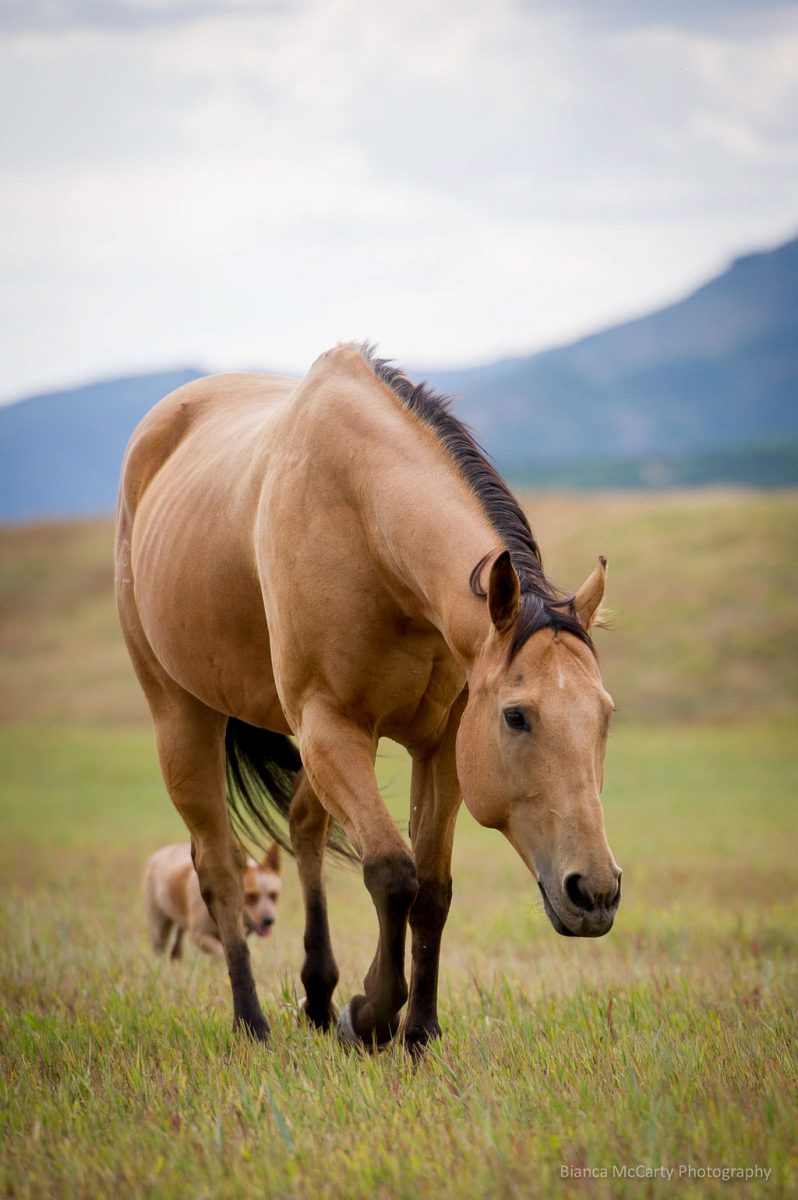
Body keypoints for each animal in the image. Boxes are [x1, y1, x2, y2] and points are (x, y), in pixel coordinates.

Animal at [115, 342, 621, 1052]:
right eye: (517, 717)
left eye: (605, 717)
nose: (595, 894)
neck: (362, 519)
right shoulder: (332, 727)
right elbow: (391, 871)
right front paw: (372, 1015)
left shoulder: (442, 744)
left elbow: (431, 889)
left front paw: (419, 1032)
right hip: (182, 717)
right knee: (218, 868)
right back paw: (253, 1023)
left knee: (303, 826)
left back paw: (318, 995)